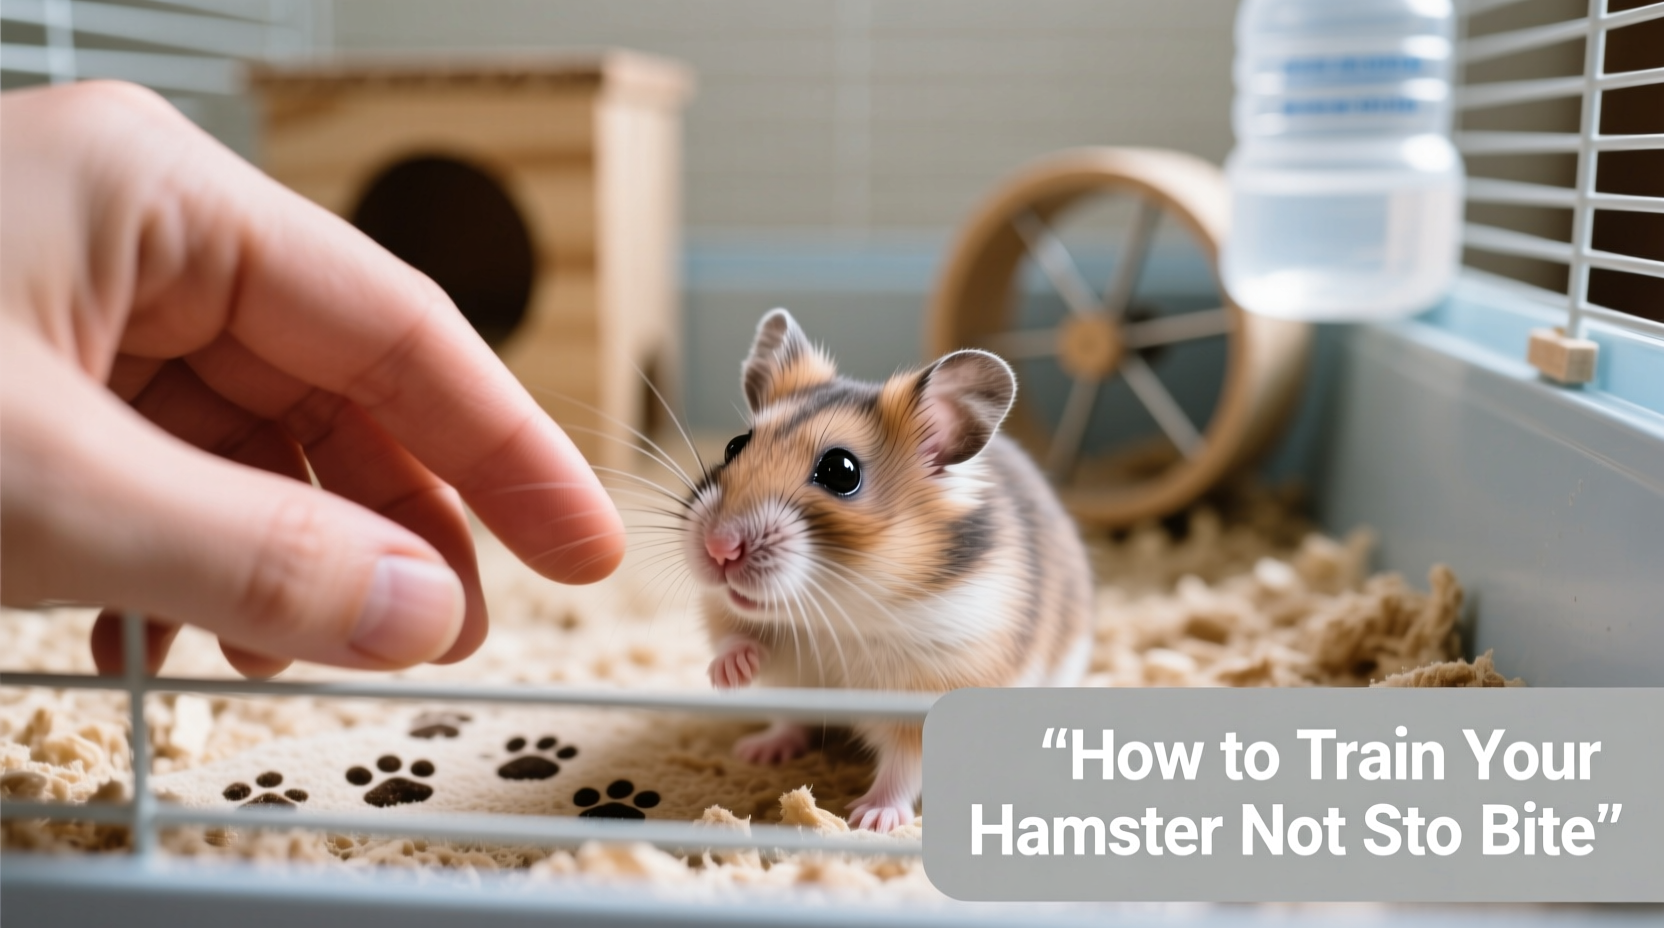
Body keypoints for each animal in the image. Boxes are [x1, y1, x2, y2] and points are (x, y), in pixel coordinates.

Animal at [684, 308, 1093, 832]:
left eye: (841, 471)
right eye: (735, 446)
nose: (718, 549)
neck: (837, 617)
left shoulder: (928, 690)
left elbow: (903, 765)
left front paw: (870, 820)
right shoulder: (761, 638)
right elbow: (738, 636)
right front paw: (730, 674)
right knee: (791, 720)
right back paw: (759, 750)